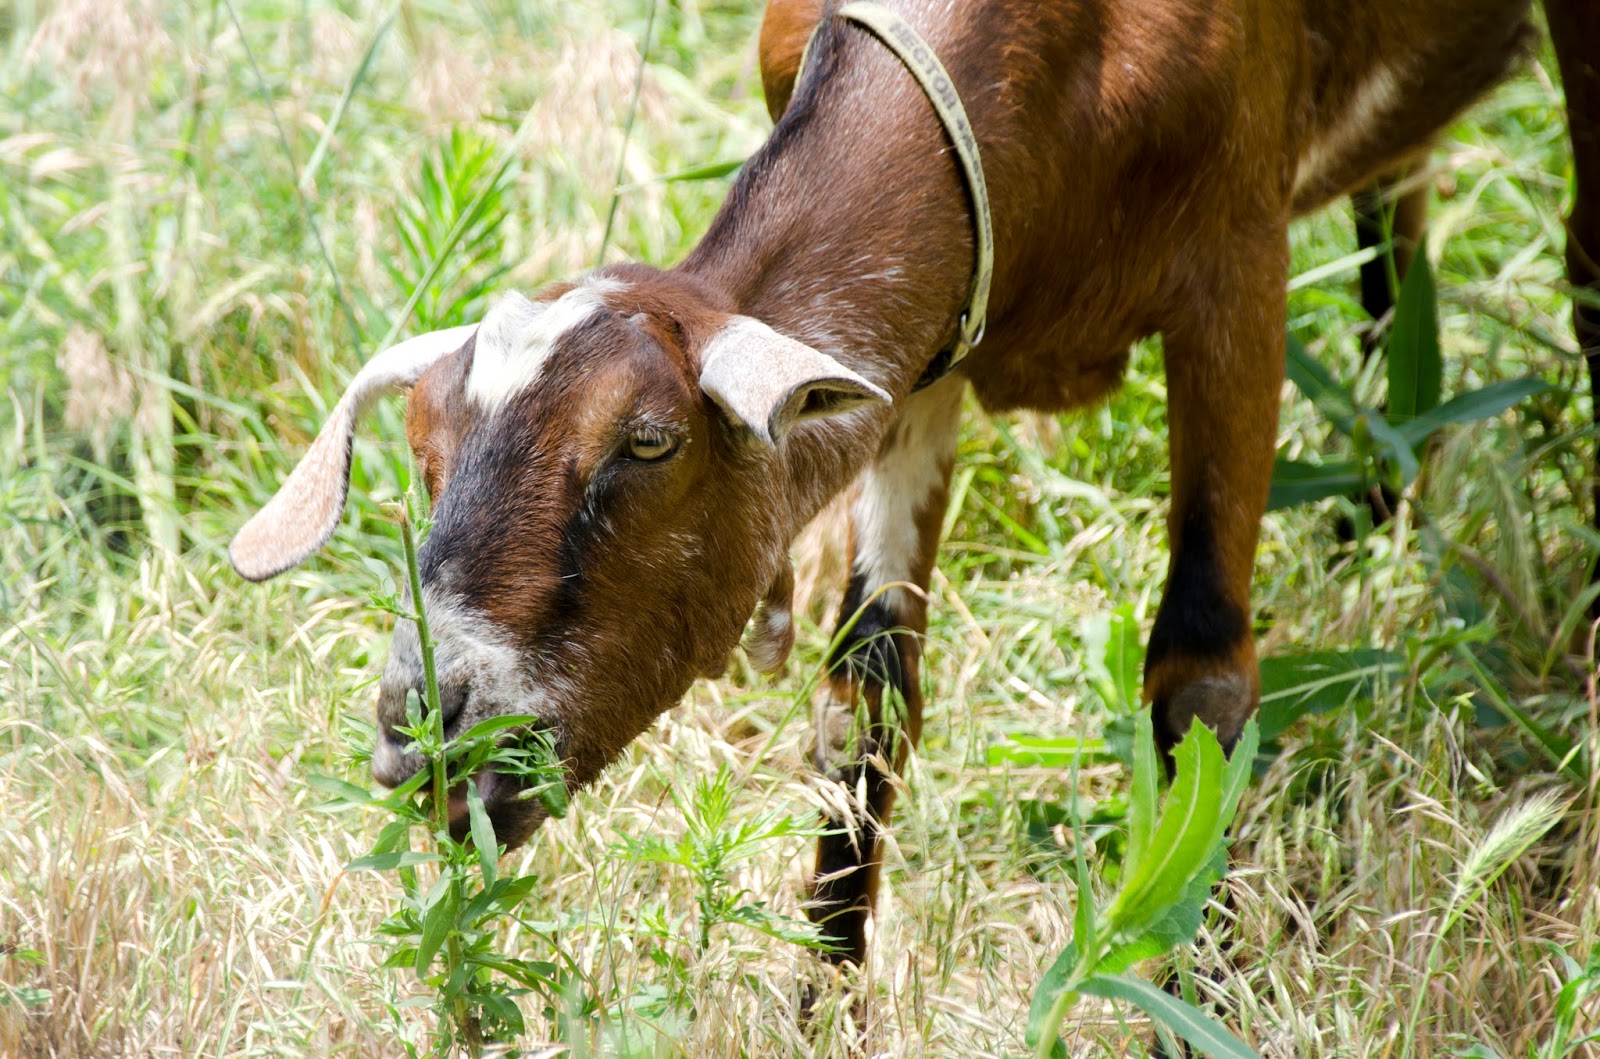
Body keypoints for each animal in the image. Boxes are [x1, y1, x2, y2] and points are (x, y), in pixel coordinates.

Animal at [232, 0, 1598, 975]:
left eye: (649, 442)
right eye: (421, 448)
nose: (430, 728)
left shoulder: (1235, 262)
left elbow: (1201, 671)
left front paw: (1189, 983)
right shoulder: (933, 326)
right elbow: (867, 695)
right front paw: (820, 1004)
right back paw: (1379, 500)